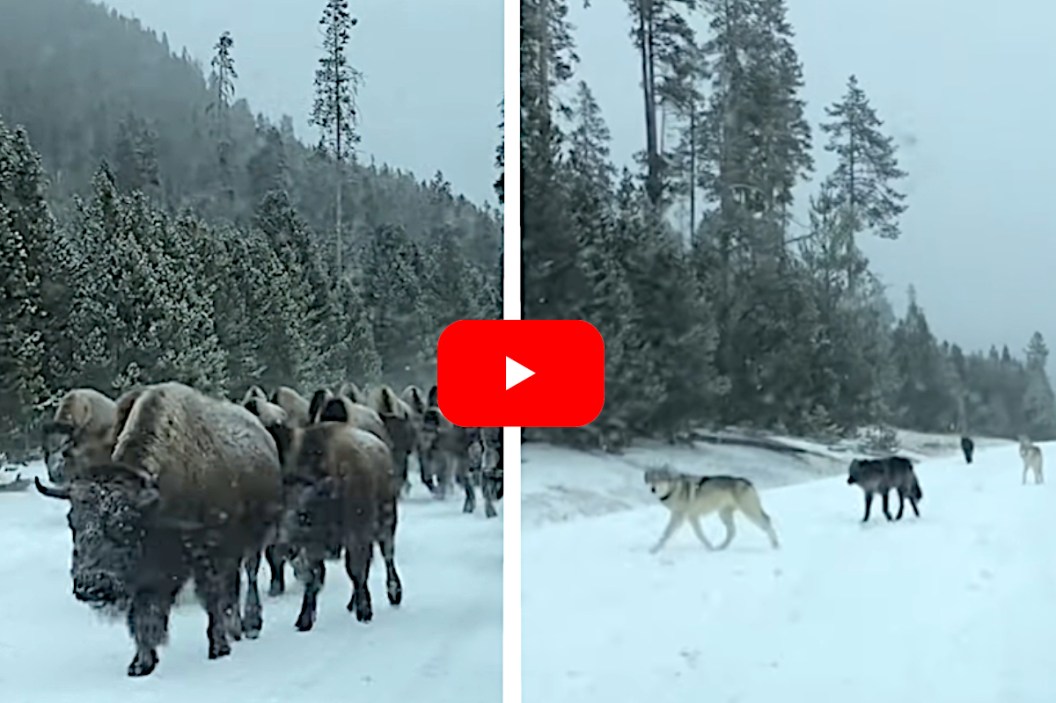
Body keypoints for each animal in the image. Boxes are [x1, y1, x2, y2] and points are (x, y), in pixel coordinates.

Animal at [643, 468, 780, 554]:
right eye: (651, 480)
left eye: (660, 479)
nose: (652, 489)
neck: (675, 489)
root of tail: (746, 481)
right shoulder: (692, 517)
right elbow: (701, 535)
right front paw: (710, 548)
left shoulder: (679, 517)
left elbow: (665, 534)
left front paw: (654, 550)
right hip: (724, 515)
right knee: (732, 532)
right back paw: (720, 548)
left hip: (749, 512)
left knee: (767, 522)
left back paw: (776, 546)